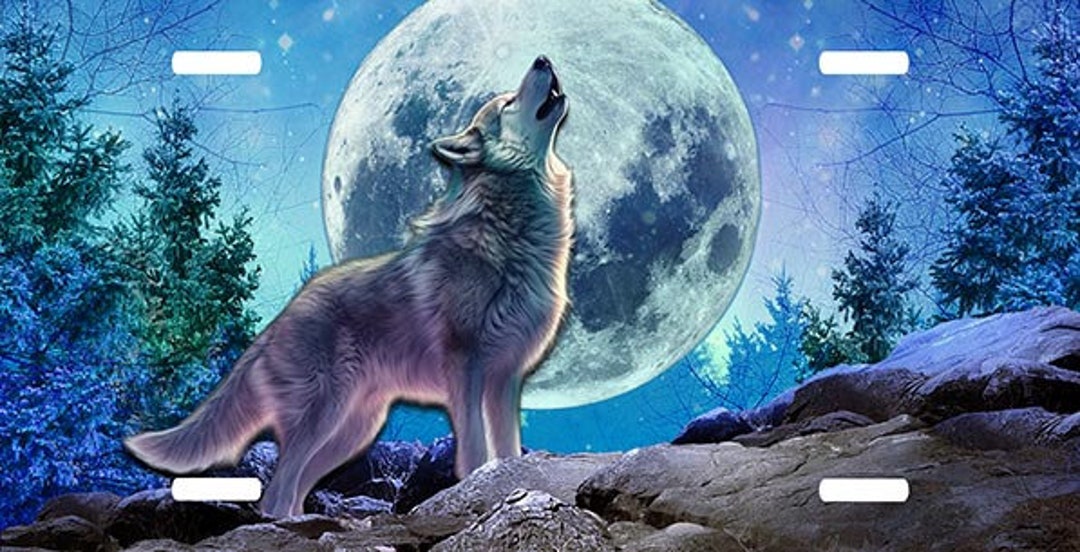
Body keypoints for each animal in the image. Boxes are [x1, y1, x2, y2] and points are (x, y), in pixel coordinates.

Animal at [125, 56, 572, 518]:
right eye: (507, 103)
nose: (542, 59)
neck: (510, 236)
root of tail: (278, 320)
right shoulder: (465, 367)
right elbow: (478, 450)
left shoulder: (505, 378)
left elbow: (508, 451)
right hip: (324, 418)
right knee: (277, 489)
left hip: (351, 432)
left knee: (292, 488)